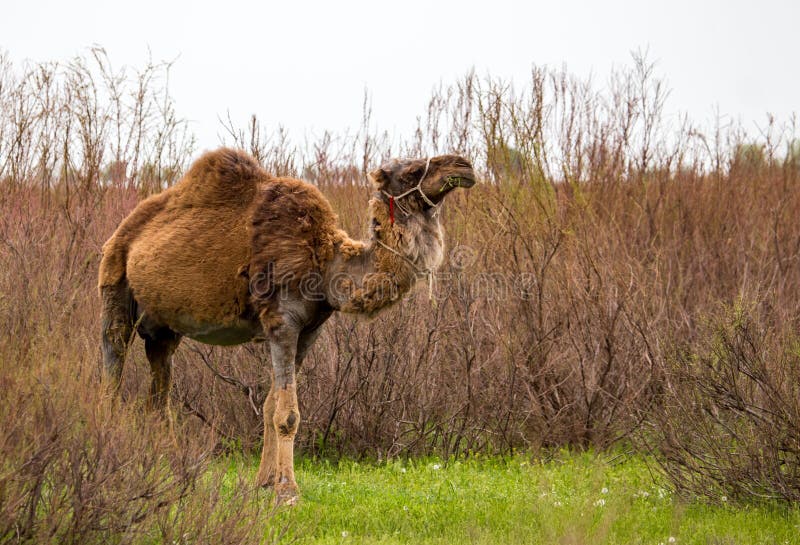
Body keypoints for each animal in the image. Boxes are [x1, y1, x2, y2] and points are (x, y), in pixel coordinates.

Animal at [98, 147, 475, 504]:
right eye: (412, 170)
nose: (465, 166)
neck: (326, 263)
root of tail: (123, 231)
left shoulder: (310, 329)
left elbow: (269, 407)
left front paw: (263, 484)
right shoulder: (282, 322)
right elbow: (287, 414)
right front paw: (287, 491)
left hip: (163, 327)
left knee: (159, 388)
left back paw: (172, 468)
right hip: (114, 283)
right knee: (113, 368)